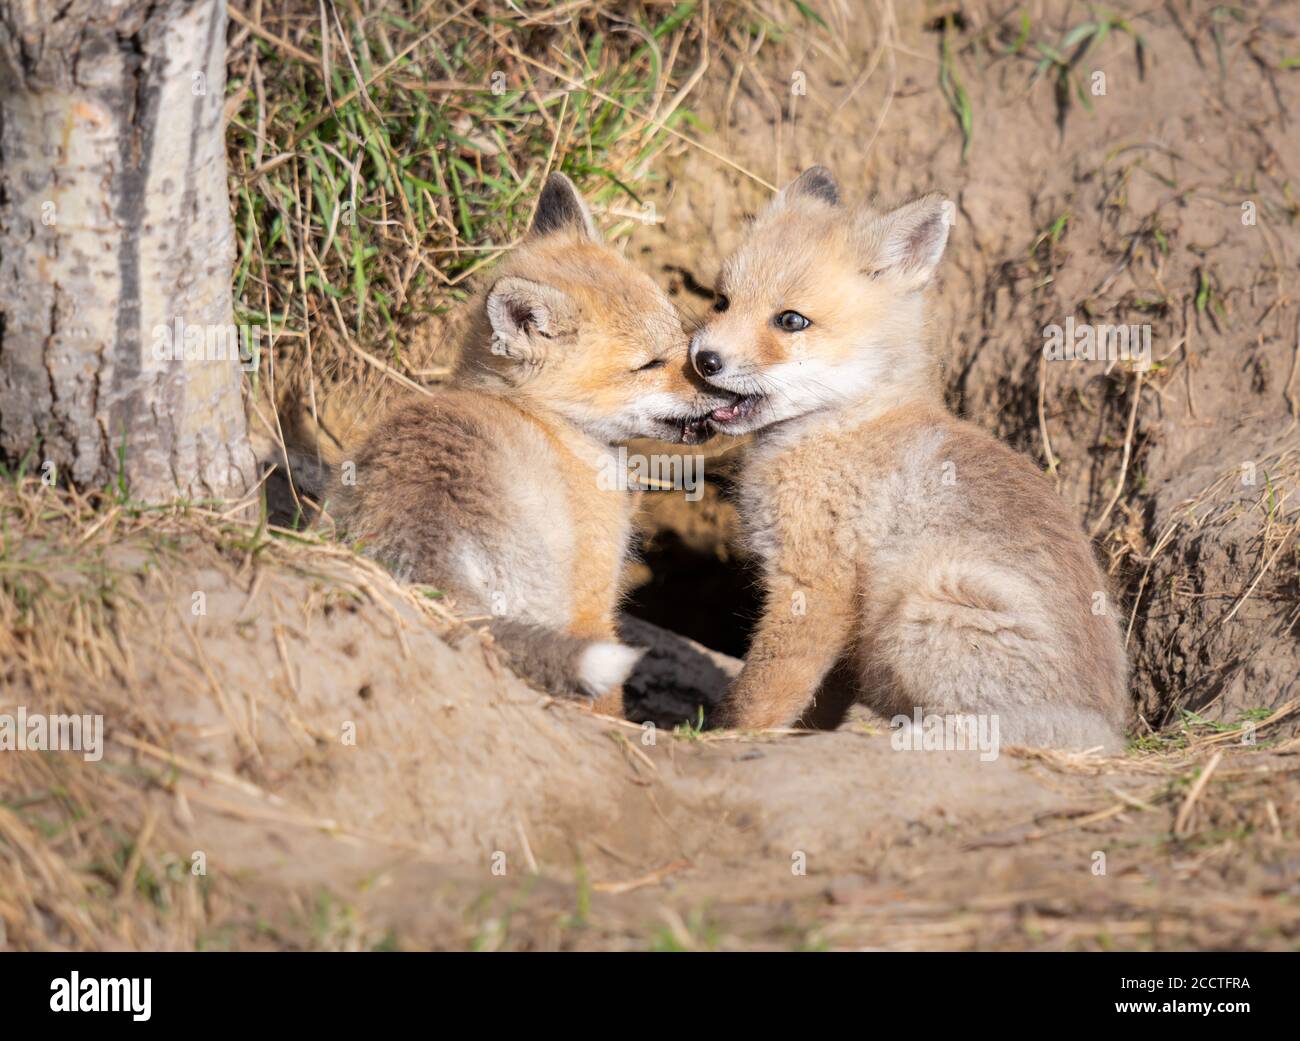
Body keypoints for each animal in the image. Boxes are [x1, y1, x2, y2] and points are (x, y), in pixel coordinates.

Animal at [279, 173, 728, 715]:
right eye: (649, 364)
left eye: (680, 336)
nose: (720, 380)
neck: (543, 417)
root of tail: (423, 527)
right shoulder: (594, 594)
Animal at [689, 166, 1130, 751]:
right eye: (722, 302)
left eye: (790, 320)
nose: (703, 360)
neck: (847, 422)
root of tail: (1109, 737)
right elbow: (816, 700)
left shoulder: (814, 585)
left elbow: (762, 694)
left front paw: (725, 737)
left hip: (928, 603)